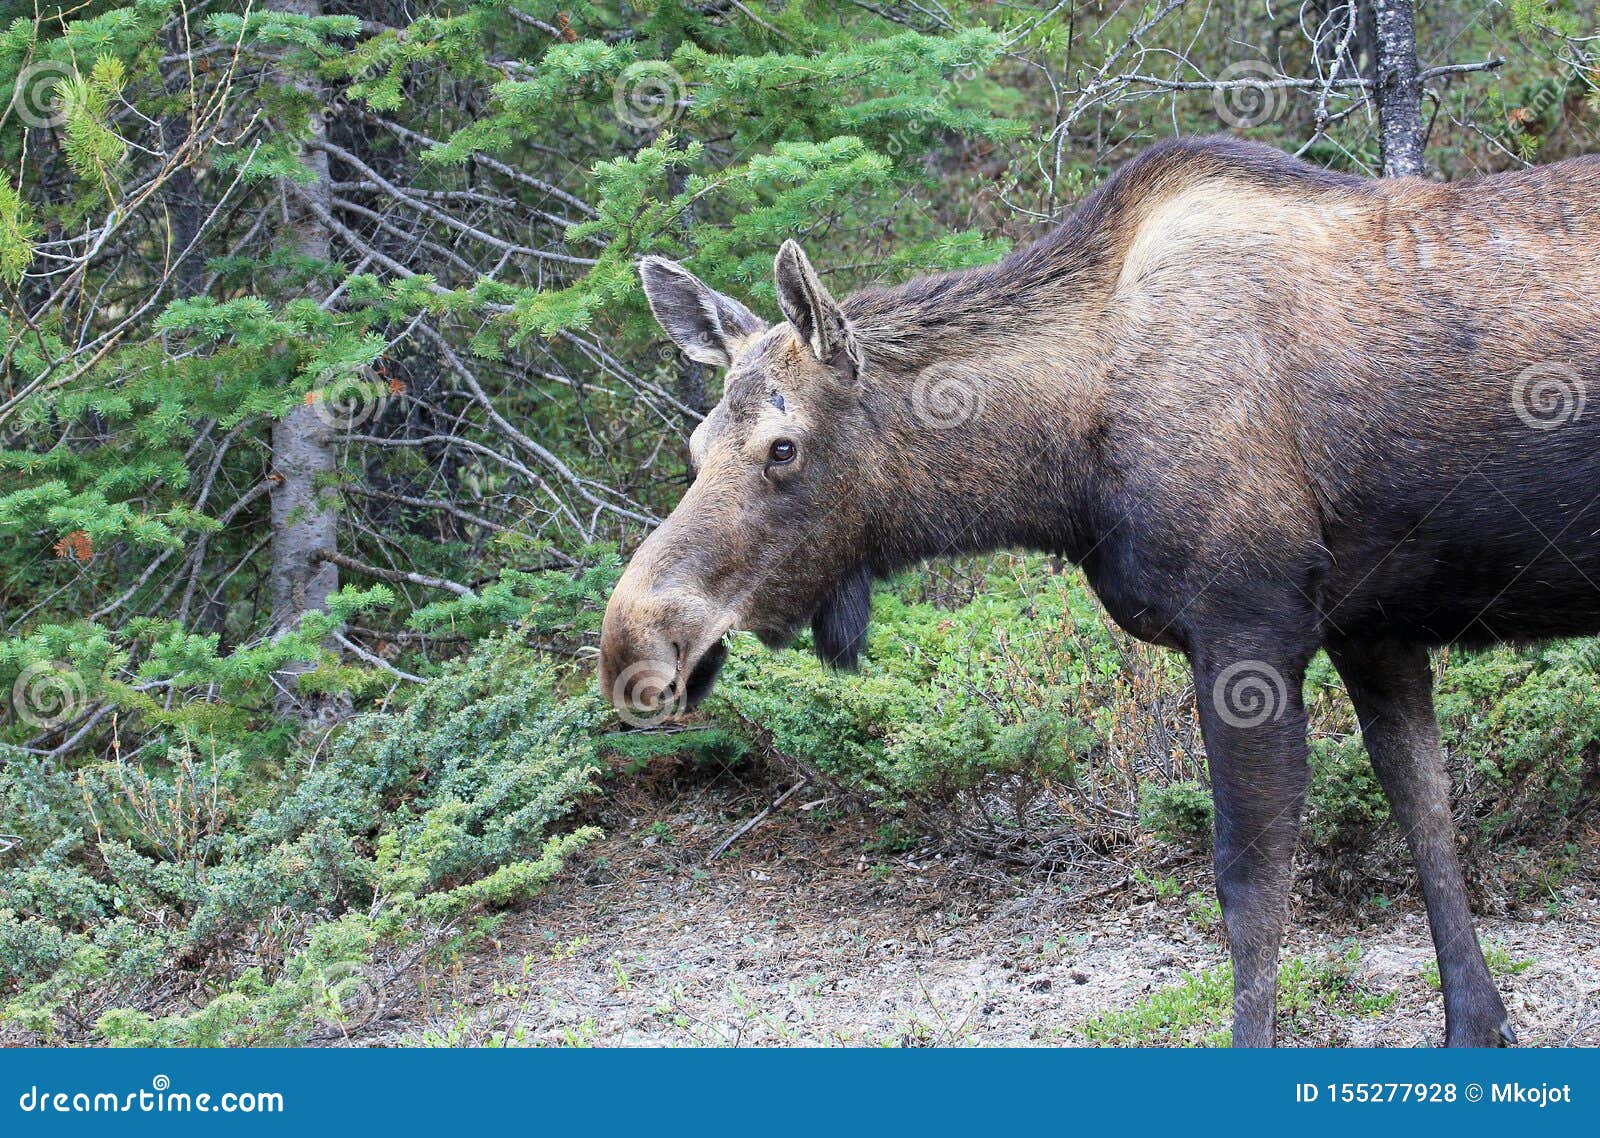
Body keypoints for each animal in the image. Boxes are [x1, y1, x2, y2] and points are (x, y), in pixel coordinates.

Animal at [599, 135, 1600, 1046]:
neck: (1064, 471)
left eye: (783, 448)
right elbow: (1426, 809)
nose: (633, 644)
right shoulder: (1373, 627)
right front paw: (1477, 1024)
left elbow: (1250, 877)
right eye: (694, 448)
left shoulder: (1248, 625)